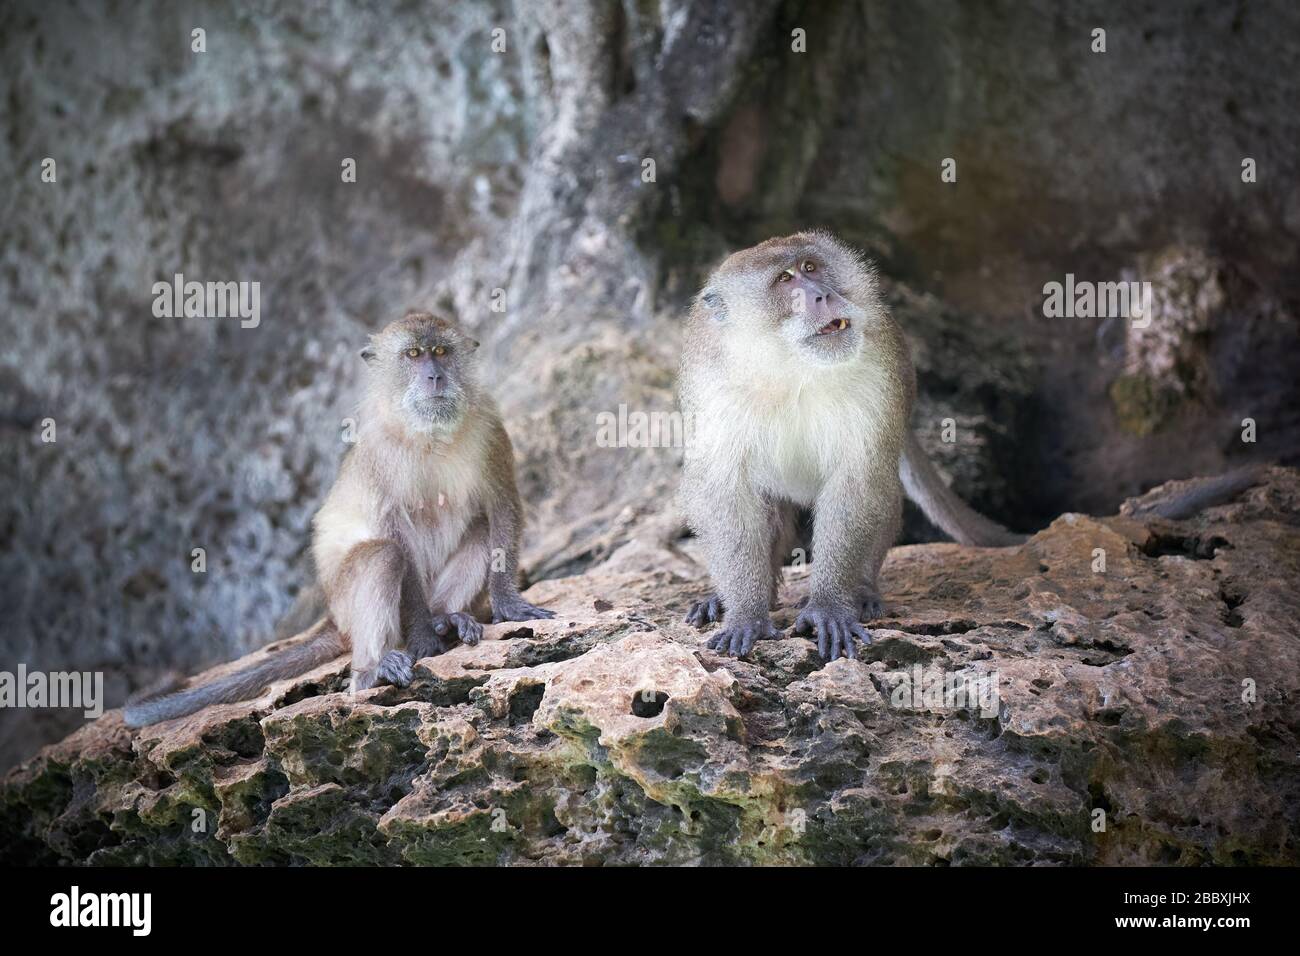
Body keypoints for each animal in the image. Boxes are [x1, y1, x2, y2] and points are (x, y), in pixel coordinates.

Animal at [124, 311, 552, 727]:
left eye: (442, 351)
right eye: (414, 354)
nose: (435, 376)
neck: (428, 433)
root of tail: (333, 618)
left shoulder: (489, 427)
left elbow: (501, 506)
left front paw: (508, 604)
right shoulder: (378, 450)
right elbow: (393, 533)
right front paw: (422, 637)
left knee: (480, 528)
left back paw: (446, 617)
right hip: (346, 602)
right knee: (384, 555)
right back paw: (373, 668)